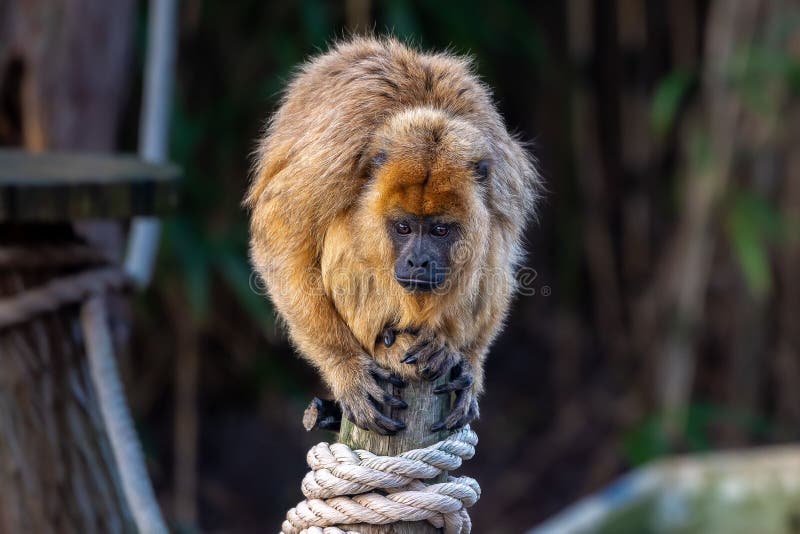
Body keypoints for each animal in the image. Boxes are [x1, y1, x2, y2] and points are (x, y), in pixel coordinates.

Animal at [245, 36, 539, 435]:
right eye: (403, 228)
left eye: (439, 230)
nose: (418, 260)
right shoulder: (339, 152)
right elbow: (279, 241)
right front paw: (346, 367)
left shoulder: (502, 179)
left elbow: (501, 260)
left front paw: (467, 362)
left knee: (489, 247)